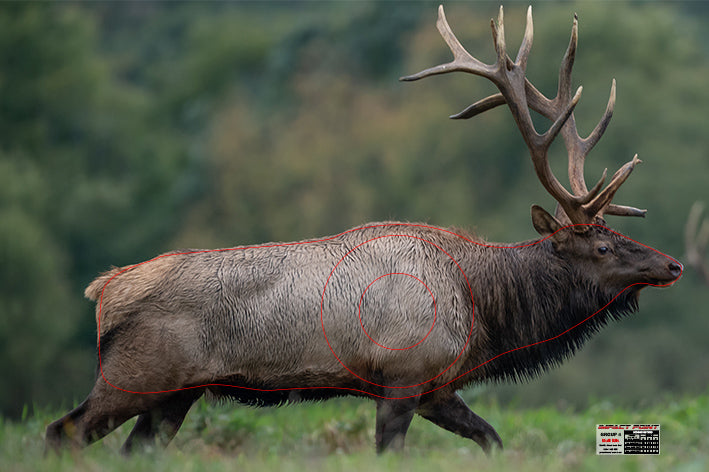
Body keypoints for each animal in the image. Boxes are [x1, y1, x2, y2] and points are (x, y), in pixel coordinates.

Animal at [46, 5, 681, 455]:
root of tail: (102, 290)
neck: (483, 310)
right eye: (603, 244)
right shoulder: (402, 377)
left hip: (173, 396)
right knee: (62, 432)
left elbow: (492, 439)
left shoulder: (435, 387)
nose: (672, 264)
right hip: (132, 377)